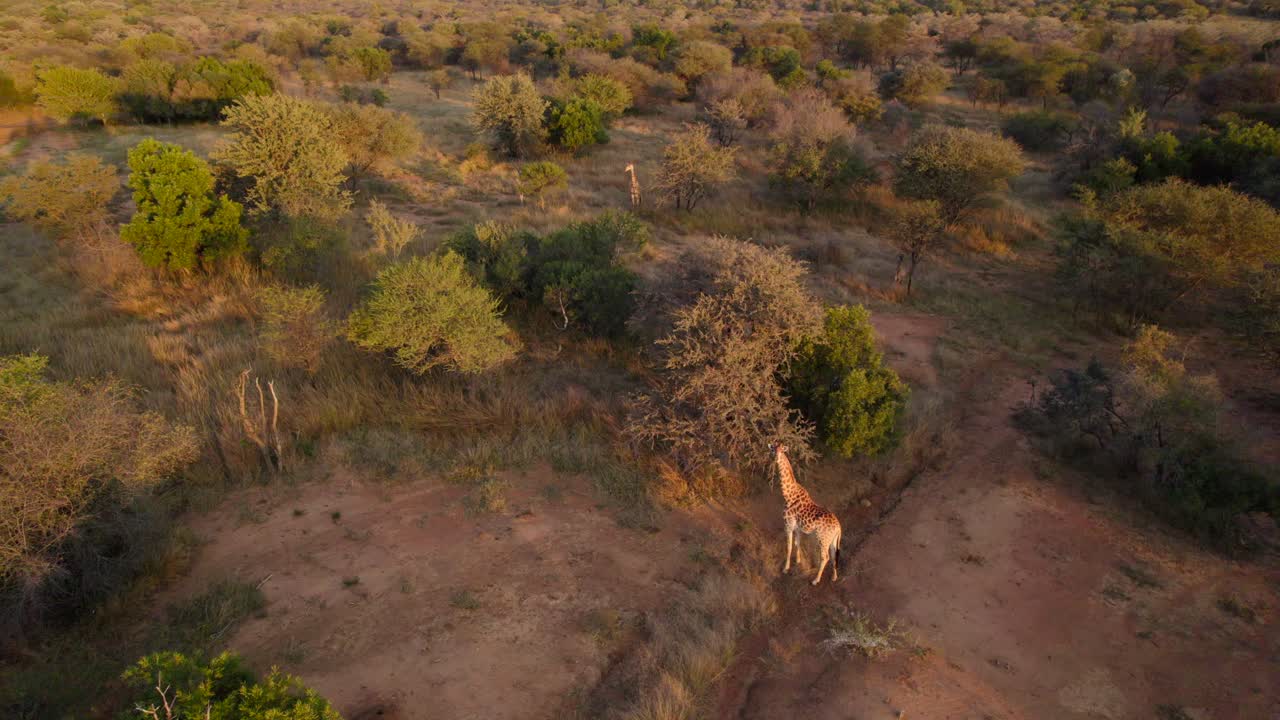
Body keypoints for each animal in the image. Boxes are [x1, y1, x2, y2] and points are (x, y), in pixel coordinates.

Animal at [771, 442, 842, 586]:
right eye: (773, 450)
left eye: (781, 451)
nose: (776, 459)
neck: (788, 494)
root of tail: (838, 527)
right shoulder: (797, 527)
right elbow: (797, 543)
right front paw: (798, 562)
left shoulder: (788, 525)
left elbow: (789, 546)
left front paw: (785, 569)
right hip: (832, 540)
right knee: (833, 555)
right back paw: (834, 577)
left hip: (822, 539)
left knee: (825, 557)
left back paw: (815, 580)